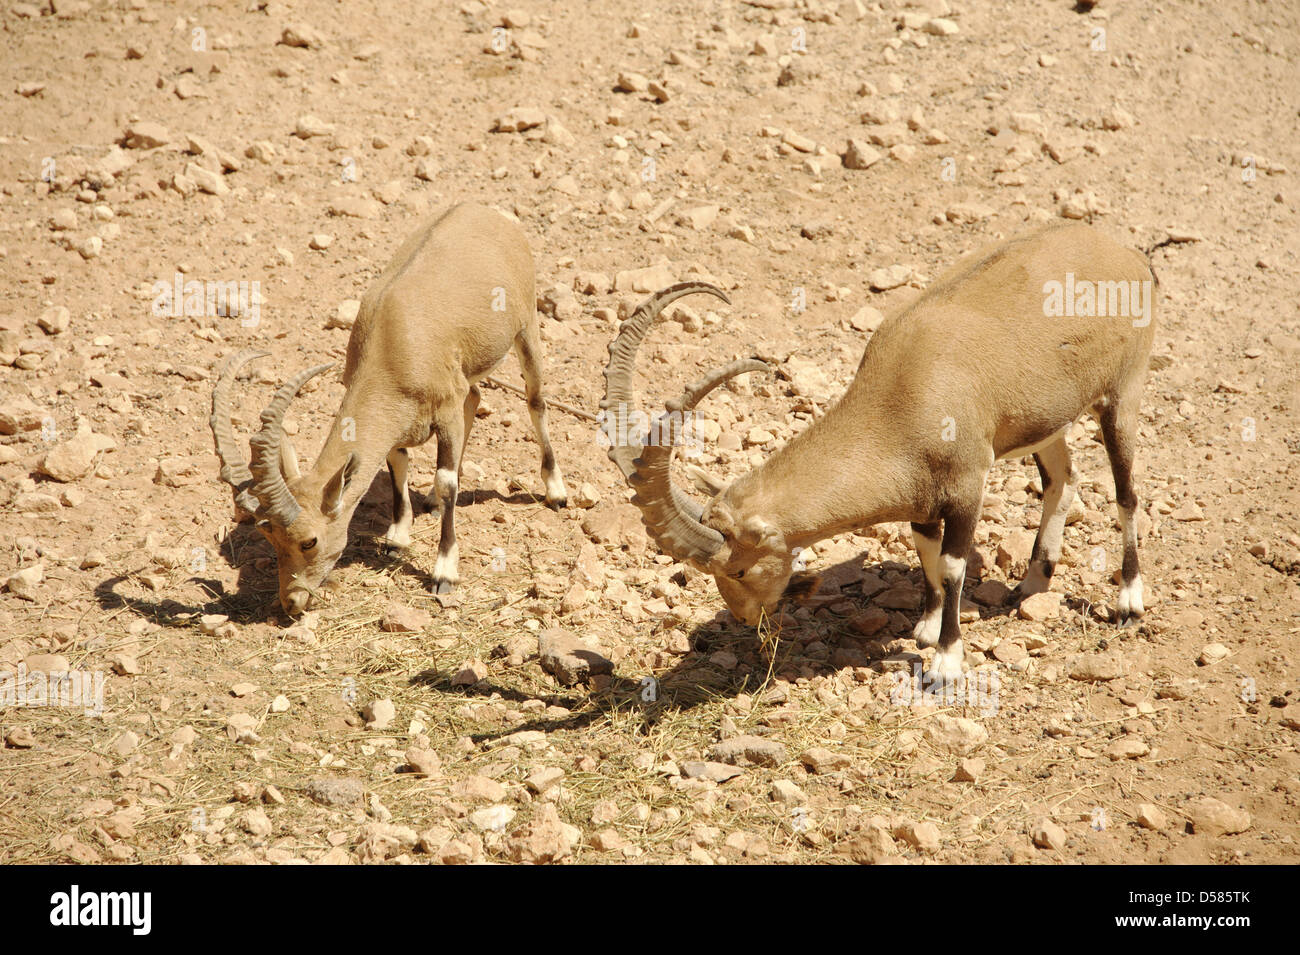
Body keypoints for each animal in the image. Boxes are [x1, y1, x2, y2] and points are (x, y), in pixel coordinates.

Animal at [210, 202, 567, 615]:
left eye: (309, 540)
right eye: (271, 539)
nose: (293, 601)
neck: (391, 346)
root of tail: (485, 211)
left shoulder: (444, 409)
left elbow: (447, 482)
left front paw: (445, 573)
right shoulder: (399, 416)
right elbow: (397, 462)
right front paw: (398, 536)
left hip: (526, 324)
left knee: (535, 401)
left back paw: (556, 490)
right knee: (475, 398)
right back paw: (430, 501)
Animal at [601, 222, 1156, 685]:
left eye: (736, 570)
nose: (746, 617)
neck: (900, 394)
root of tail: (1130, 256)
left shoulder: (966, 486)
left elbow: (952, 565)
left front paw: (945, 664)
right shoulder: (923, 499)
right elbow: (926, 552)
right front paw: (926, 628)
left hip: (1122, 394)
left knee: (1126, 492)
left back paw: (1129, 601)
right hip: (1047, 422)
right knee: (1063, 478)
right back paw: (1033, 581)